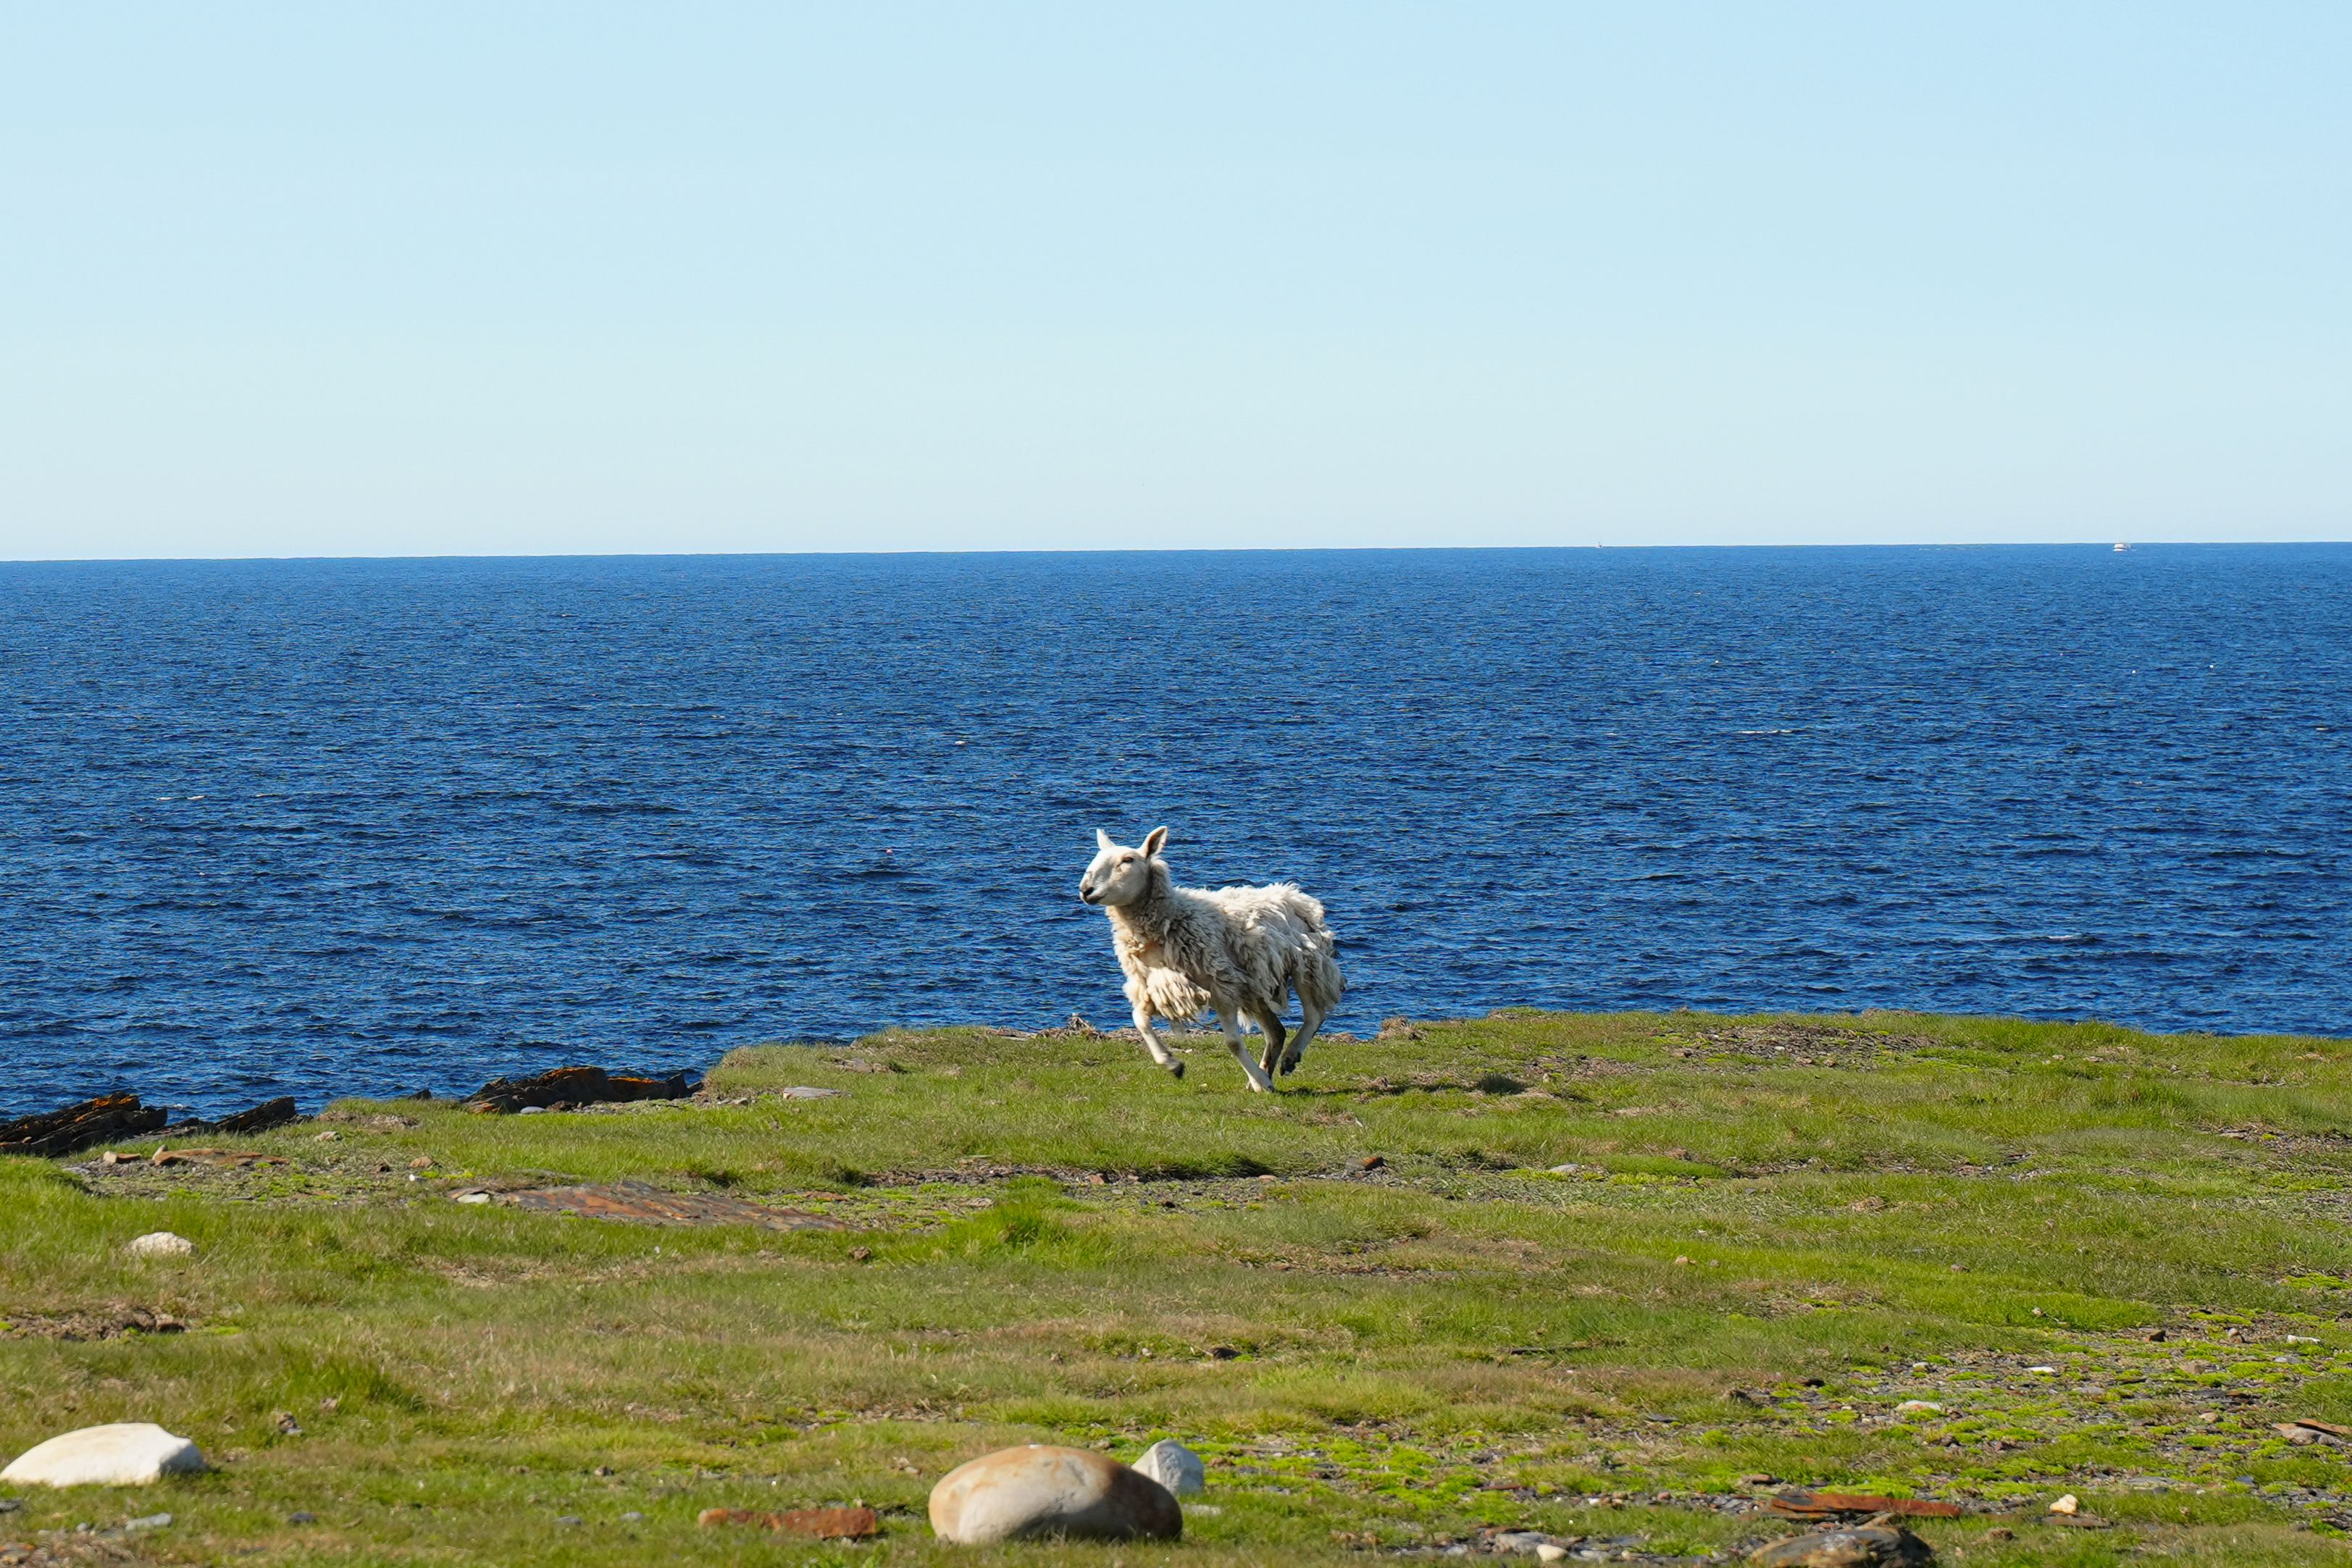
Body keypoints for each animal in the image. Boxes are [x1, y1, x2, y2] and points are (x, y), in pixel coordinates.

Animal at [1077, 826, 1344, 1092]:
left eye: (1128, 860)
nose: (1085, 889)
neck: (1170, 918)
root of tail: (1293, 892)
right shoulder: (1157, 985)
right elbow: (1140, 1021)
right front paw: (1172, 1064)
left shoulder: (1221, 985)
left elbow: (1233, 1042)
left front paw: (1259, 1079)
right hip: (1254, 985)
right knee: (1277, 1031)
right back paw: (1264, 1074)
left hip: (1307, 964)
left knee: (1314, 1014)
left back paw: (1288, 1059)